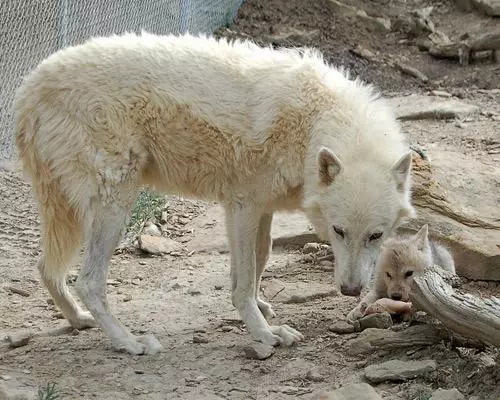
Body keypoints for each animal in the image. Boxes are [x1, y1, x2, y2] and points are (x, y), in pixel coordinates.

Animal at [13, 32, 416, 354]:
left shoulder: (258, 209)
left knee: (46, 268)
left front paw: (261, 307)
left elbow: (257, 263)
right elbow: (244, 279)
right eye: (338, 231)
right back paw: (129, 342)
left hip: (68, 212)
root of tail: (29, 87)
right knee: (89, 281)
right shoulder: (243, 206)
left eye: (376, 236)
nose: (349, 290)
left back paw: (79, 320)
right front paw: (265, 333)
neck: (312, 121)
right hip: (115, 208)